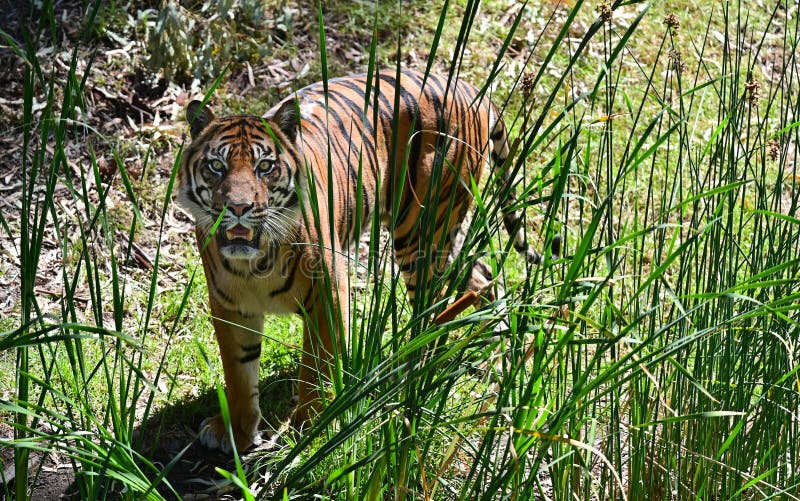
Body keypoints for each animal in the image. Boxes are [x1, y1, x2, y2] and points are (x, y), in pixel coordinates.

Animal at [176, 69, 552, 453]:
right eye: (216, 166)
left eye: (264, 167)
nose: (238, 208)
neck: (253, 266)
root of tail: (467, 86)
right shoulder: (230, 307)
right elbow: (238, 375)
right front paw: (234, 433)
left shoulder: (328, 293)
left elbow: (315, 368)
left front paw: (308, 431)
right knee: (483, 276)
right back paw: (497, 343)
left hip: (421, 233)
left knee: (435, 307)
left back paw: (417, 368)